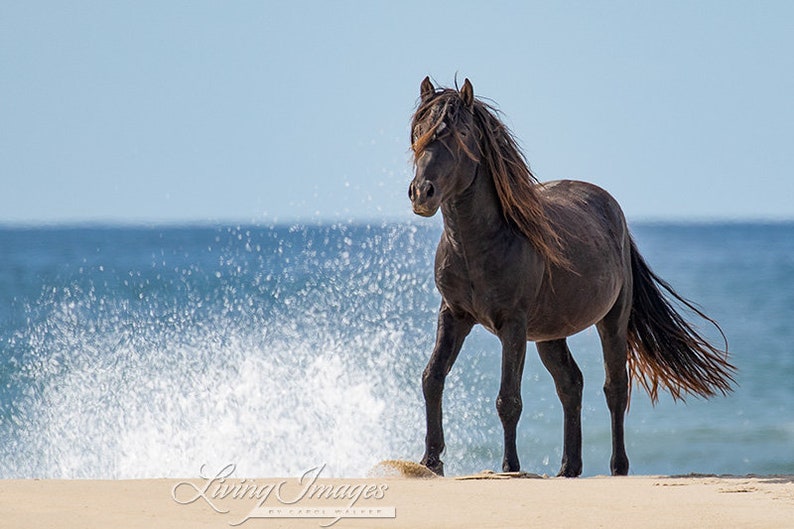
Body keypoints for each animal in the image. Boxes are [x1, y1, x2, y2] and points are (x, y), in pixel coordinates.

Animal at [408, 77, 735, 477]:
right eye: (418, 132)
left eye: (461, 134)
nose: (422, 193)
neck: (482, 243)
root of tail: (612, 209)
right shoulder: (453, 316)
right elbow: (432, 378)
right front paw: (430, 462)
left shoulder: (513, 325)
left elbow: (508, 399)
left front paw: (510, 467)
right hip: (551, 334)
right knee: (571, 384)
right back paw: (569, 467)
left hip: (612, 321)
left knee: (615, 388)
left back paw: (617, 467)